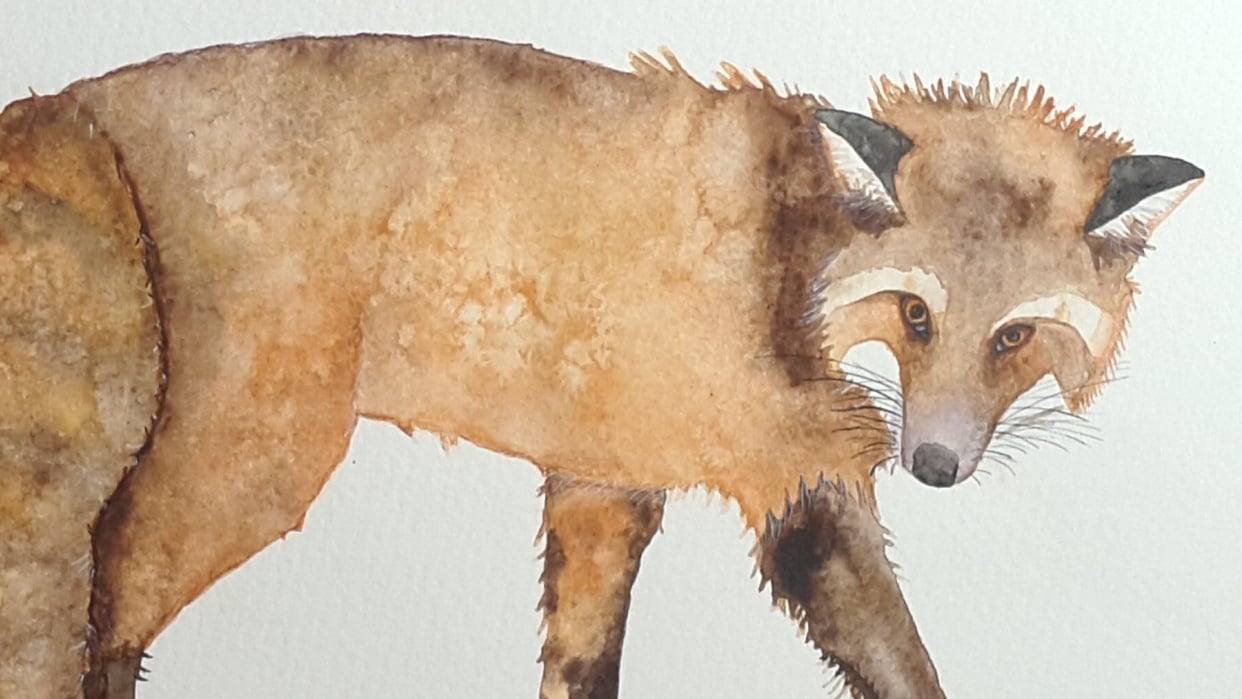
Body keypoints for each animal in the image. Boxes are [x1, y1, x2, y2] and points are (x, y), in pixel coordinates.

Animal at [0, 35, 1201, 699]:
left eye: (1013, 337)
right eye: (916, 315)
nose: (937, 466)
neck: (787, 260)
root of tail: (62, 102)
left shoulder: (606, 476)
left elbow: (582, 663)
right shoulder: (786, 473)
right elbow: (895, 652)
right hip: (253, 467)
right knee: (103, 624)